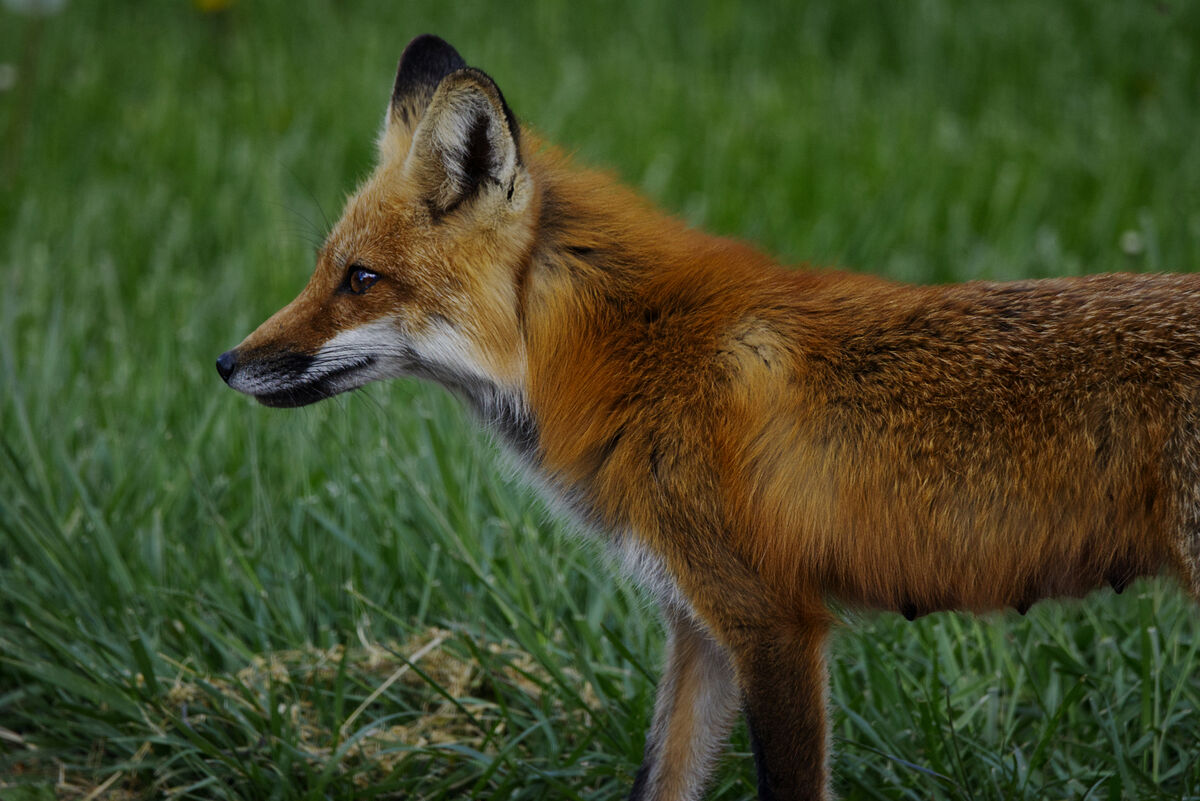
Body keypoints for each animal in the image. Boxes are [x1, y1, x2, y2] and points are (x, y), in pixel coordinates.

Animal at [217, 35, 1200, 801]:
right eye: (325, 270)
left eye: (362, 280)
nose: (226, 362)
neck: (628, 357)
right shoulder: (698, 627)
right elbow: (661, 778)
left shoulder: (773, 622)